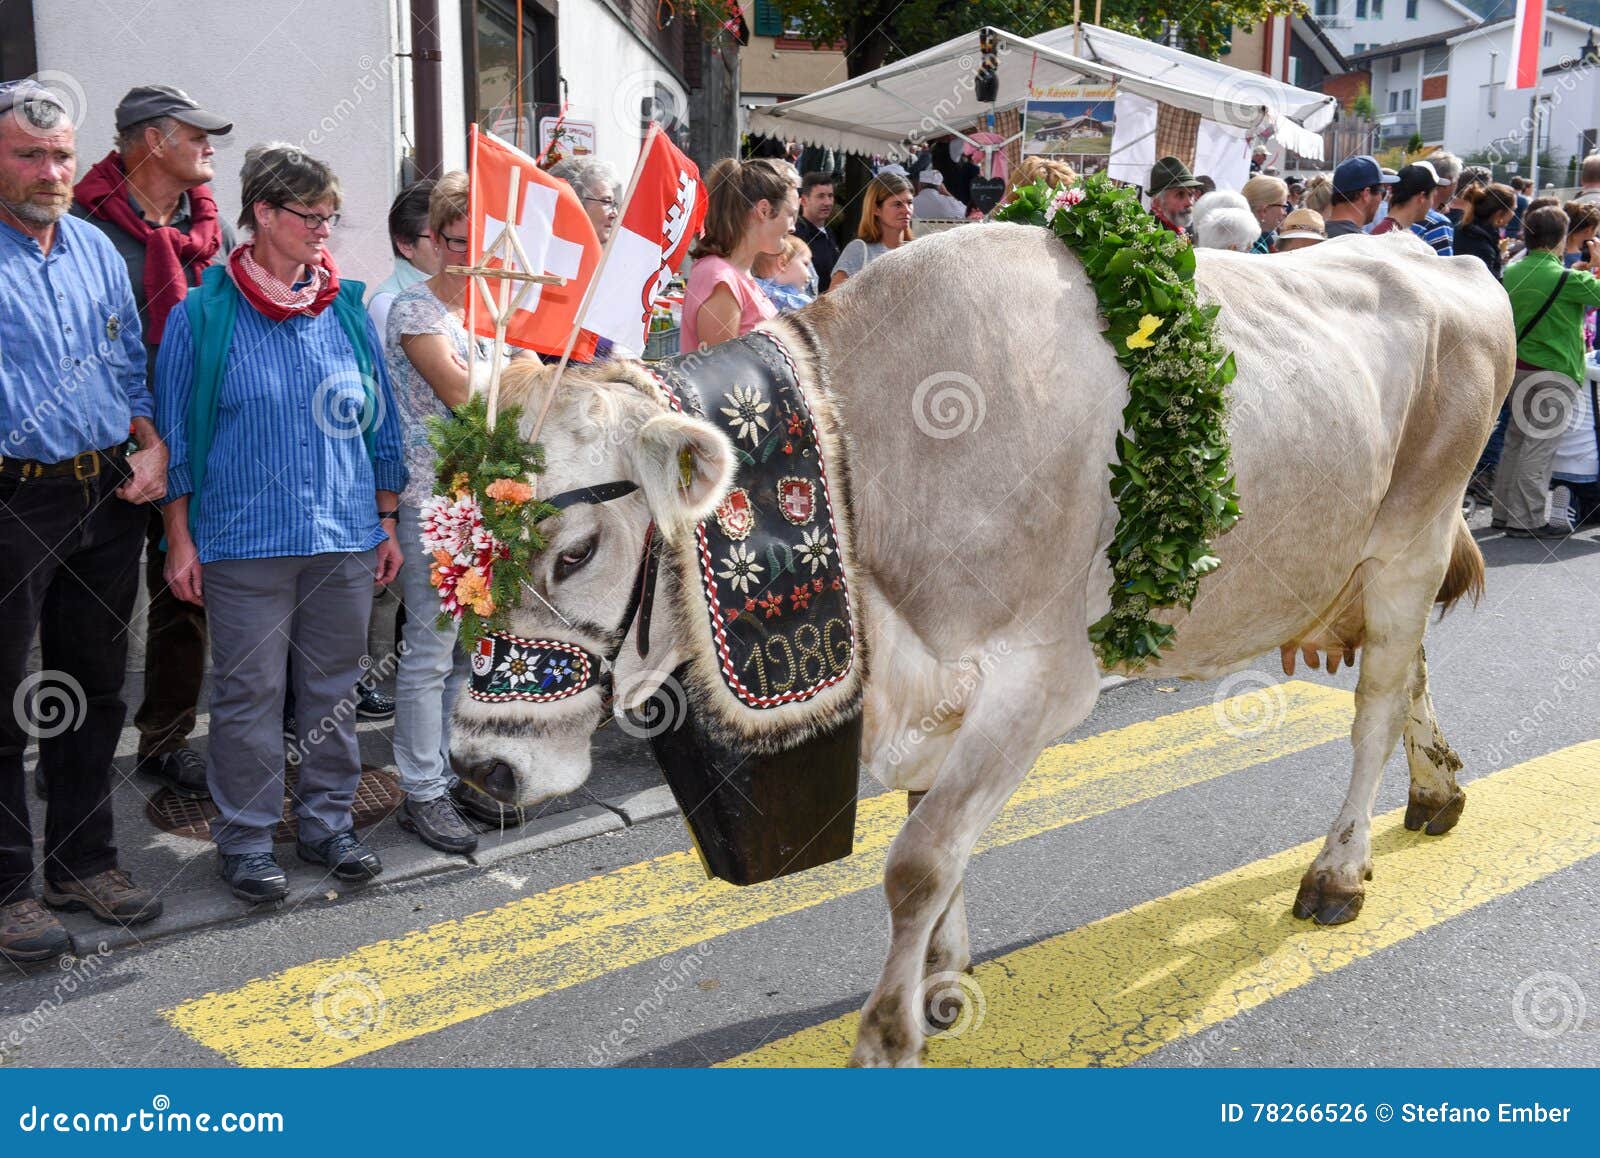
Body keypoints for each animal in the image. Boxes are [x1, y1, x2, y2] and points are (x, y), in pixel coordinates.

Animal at [447, 224, 1510, 1066]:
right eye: (452, 552)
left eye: (577, 551)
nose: (477, 774)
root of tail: (1442, 258)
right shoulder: (937, 689)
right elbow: (938, 837)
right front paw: (944, 983)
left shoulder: (1038, 680)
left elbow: (917, 860)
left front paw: (888, 1036)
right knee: (1408, 677)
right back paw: (1438, 792)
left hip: (1412, 539)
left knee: (1373, 710)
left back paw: (1337, 870)